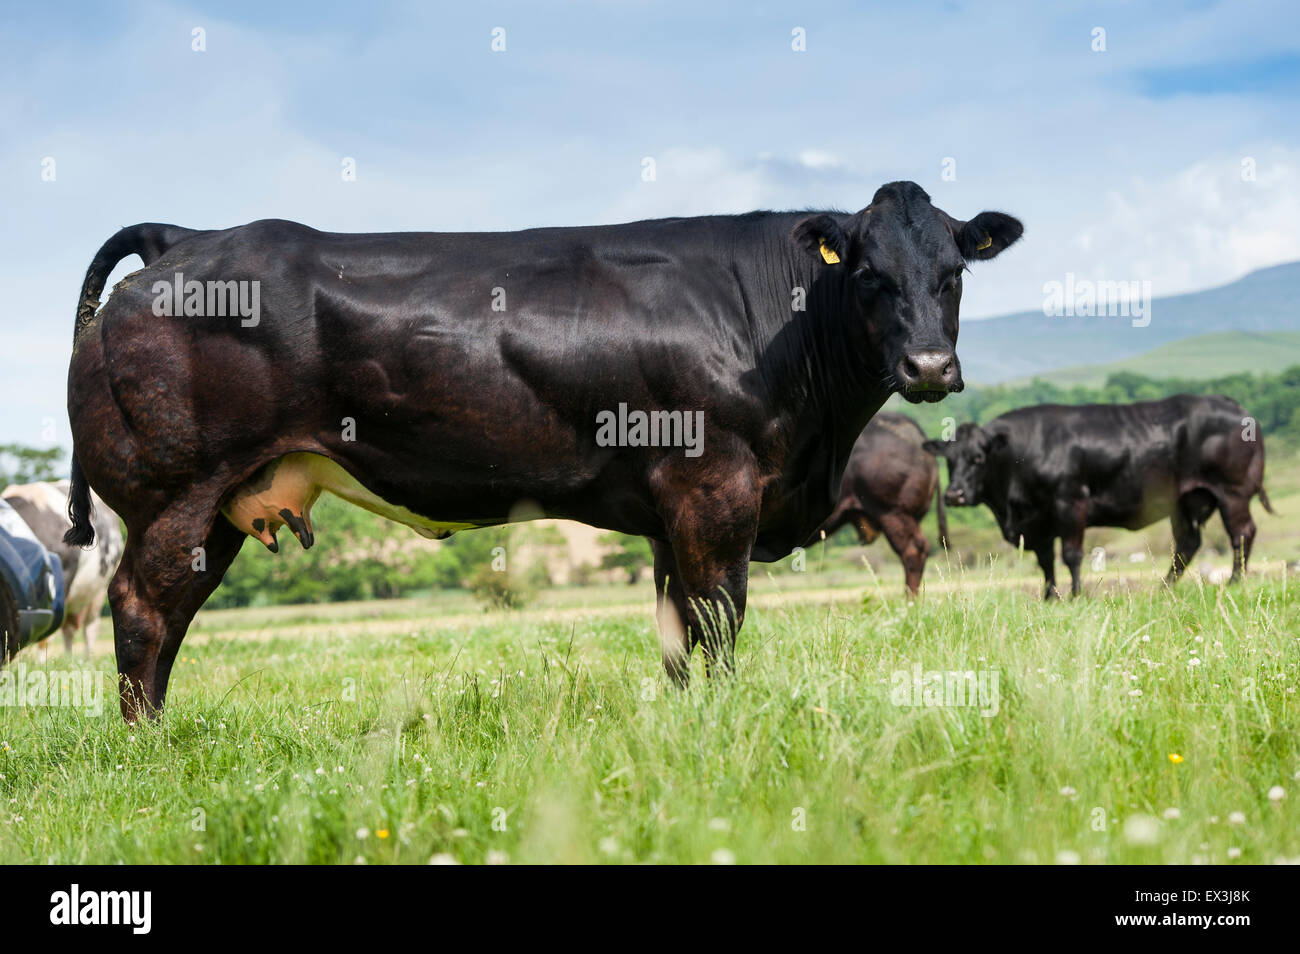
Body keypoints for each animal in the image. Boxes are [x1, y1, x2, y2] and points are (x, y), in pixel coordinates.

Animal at [3, 480, 124, 656]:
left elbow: (44, 637)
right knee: (69, 629)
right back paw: (68, 657)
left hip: (99, 591)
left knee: (90, 628)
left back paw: (87, 656)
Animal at [922, 396, 1272, 599]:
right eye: (949, 460)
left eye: (978, 458)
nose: (954, 494)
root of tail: (1237, 408)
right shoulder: (1038, 522)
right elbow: (1045, 561)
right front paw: (1050, 597)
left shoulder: (1070, 504)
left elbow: (1071, 555)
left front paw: (1076, 595)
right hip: (1185, 501)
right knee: (1187, 544)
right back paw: (1163, 589)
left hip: (1232, 493)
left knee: (1241, 534)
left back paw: (1234, 583)